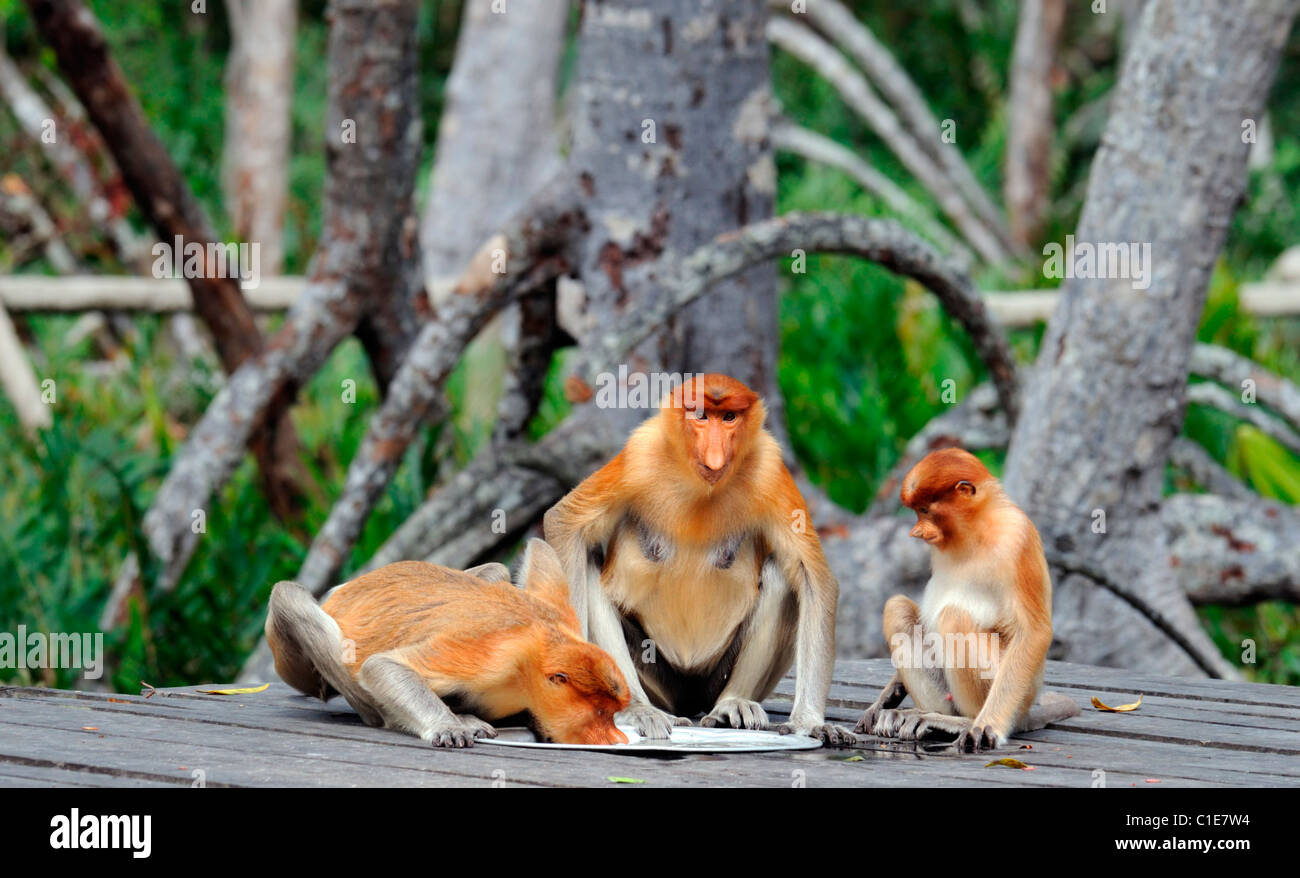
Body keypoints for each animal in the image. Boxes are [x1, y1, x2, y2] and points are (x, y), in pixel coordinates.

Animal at [264, 539, 631, 747]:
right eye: (600, 713)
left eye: (610, 714)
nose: (615, 738)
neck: (533, 662)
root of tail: (340, 591)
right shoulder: (496, 654)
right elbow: (383, 666)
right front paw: (448, 726)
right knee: (287, 595)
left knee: (496, 570)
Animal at [543, 373, 853, 745]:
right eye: (701, 416)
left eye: (729, 417)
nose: (716, 456)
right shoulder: (641, 454)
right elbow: (566, 524)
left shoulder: (769, 467)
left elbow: (813, 578)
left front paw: (810, 722)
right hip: (659, 677)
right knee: (588, 569)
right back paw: (638, 709)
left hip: (711, 680)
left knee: (782, 576)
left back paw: (731, 706)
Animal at [853, 448, 1079, 751]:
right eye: (916, 511)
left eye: (925, 510)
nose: (916, 532)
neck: (974, 528)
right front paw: (886, 698)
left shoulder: (1016, 537)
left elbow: (1033, 631)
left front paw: (984, 727)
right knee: (897, 608)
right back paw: (921, 713)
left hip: (1006, 685)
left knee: (954, 616)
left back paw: (960, 721)